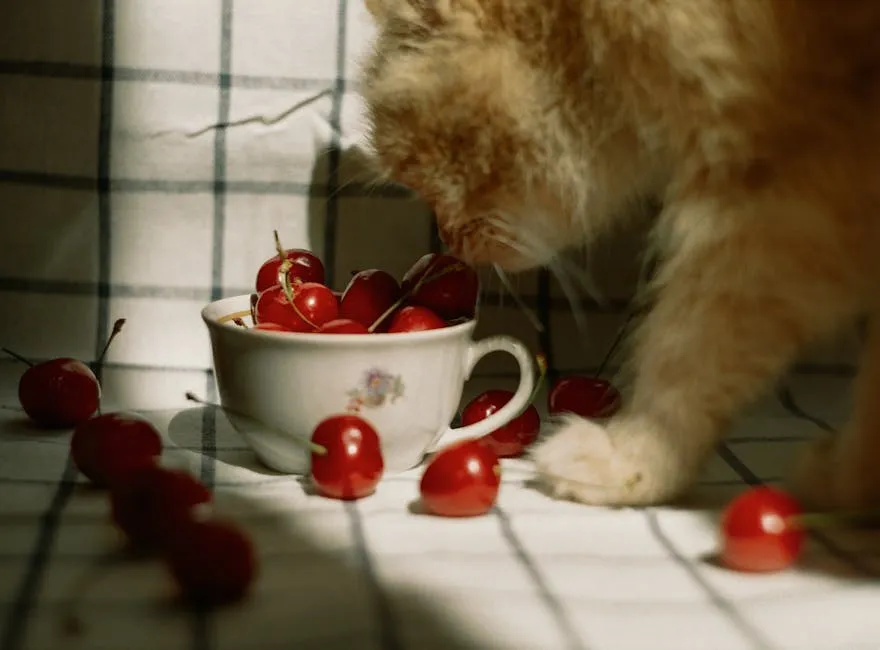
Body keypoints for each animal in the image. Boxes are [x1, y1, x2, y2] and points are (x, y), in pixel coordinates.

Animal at [356, 0, 880, 506]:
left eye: (416, 173)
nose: (447, 240)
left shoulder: (785, 186)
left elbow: (691, 346)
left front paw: (633, 457)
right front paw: (852, 481)